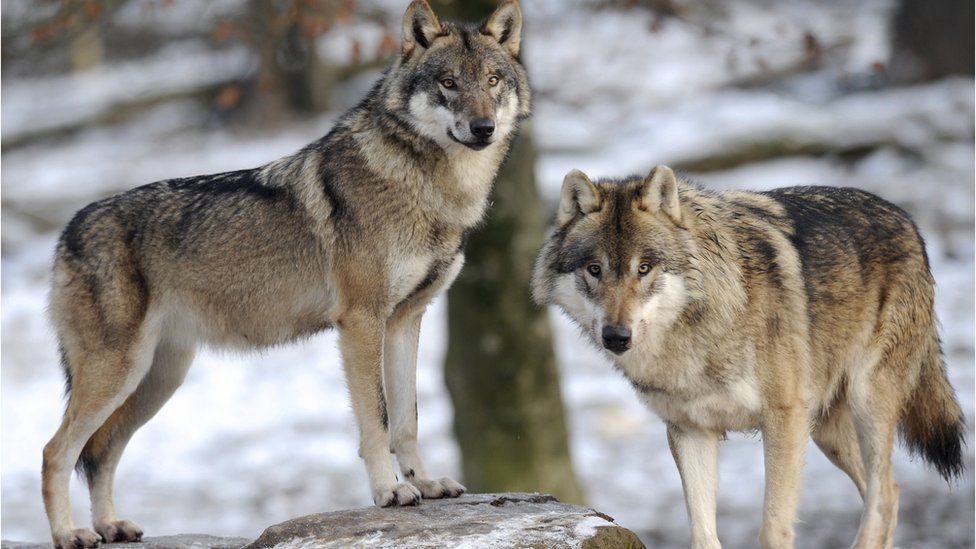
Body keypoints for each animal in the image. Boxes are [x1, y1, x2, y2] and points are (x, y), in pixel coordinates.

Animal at [41, 1, 529, 547]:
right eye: (448, 82)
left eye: (492, 80)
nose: (483, 128)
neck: (431, 191)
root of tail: (68, 230)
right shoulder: (361, 322)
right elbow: (377, 420)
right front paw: (390, 492)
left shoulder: (406, 320)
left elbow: (407, 418)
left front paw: (424, 484)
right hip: (118, 374)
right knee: (56, 451)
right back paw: (70, 534)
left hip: (156, 379)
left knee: (102, 452)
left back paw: (110, 526)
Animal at [532, 166, 965, 549]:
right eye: (594, 269)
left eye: (644, 268)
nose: (616, 336)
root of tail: (906, 219)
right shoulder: (691, 430)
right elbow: (703, 534)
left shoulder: (784, 419)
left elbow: (774, 528)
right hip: (826, 431)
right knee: (892, 490)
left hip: (865, 403)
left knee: (882, 494)